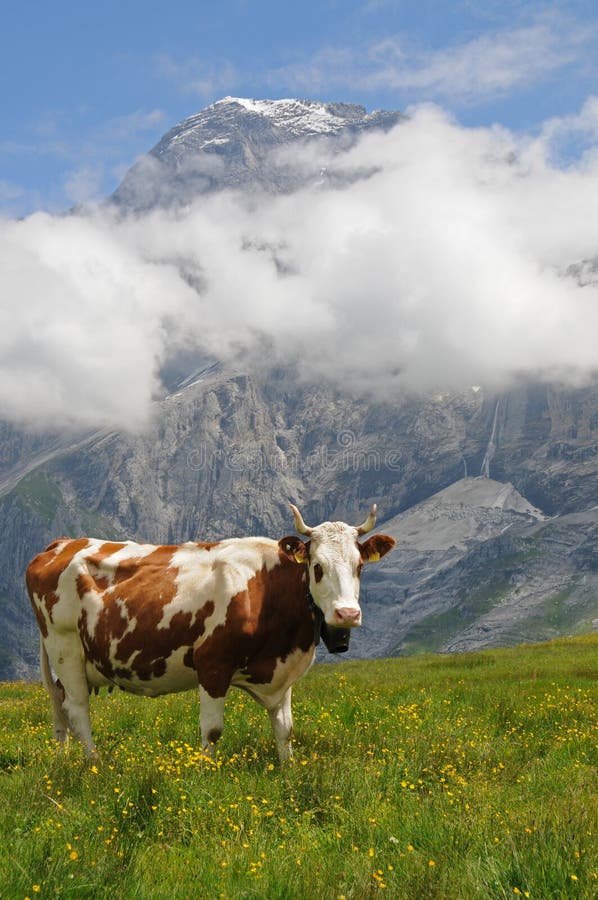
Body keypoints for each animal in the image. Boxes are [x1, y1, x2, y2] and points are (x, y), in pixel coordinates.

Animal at [26, 504, 395, 762]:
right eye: (317, 566)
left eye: (360, 566)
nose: (347, 614)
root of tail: (62, 543)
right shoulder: (213, 664)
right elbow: (213, 731)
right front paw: (204, 775)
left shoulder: (281, 672)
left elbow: (285, 730)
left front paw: (288, 770)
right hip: (65, 647)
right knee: (77, 709)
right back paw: (96, 765)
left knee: (60, 707)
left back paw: (64, 761)